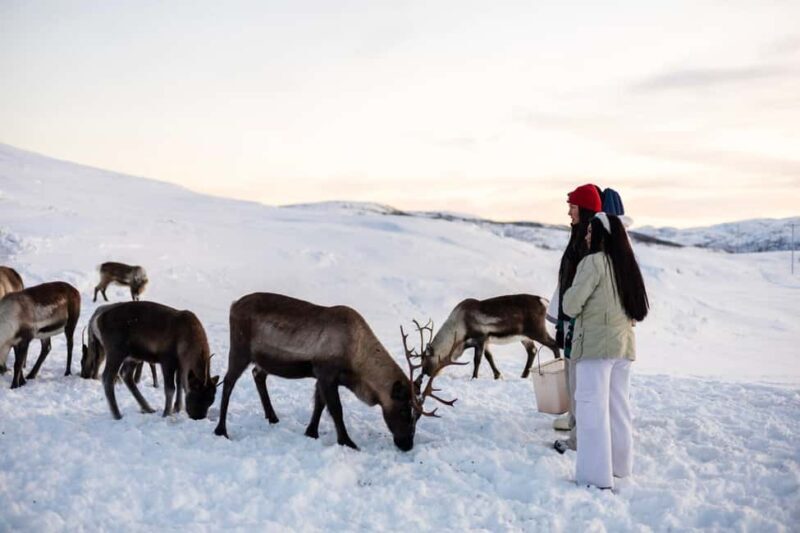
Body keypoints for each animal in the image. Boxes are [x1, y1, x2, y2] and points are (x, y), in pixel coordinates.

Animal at [81, 301, 218, 420]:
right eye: (197, 393)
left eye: (211, 400)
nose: (198, 417)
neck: (188, 342)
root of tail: (96, 319)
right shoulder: (167, 359)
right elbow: (170, 388)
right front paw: (166, 413)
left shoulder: (180, 364)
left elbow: (180, 383)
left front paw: (177, 408)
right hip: (116, 351)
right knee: (107, 377)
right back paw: (117, 414)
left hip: (133, 356)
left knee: (126, 375)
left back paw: (147, 408)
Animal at [213, 292, 458, 451]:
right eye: (405, 410)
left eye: (418, 415)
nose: (407, 445)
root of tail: (233, 305)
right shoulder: (327, 372)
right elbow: (336, 409)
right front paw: (347, 442)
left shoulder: (325, 377)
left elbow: (319, 404)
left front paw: (311, 432)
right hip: (240, 349)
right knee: (228, 382)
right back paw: (221, 430)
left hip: (263, 360)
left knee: (258, 375)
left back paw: (272, 417)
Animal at [421, 294, 560, 380]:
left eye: (426, 360)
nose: (425, 375)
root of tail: (544, 301)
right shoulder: (486, 341)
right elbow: (489, 357)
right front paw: (497, 375)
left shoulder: (480, 338)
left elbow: (477, 360)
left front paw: (474, 377)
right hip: (524, 336)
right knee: (532, 350)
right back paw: (523, 375)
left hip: (536, 331)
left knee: (554, 345)